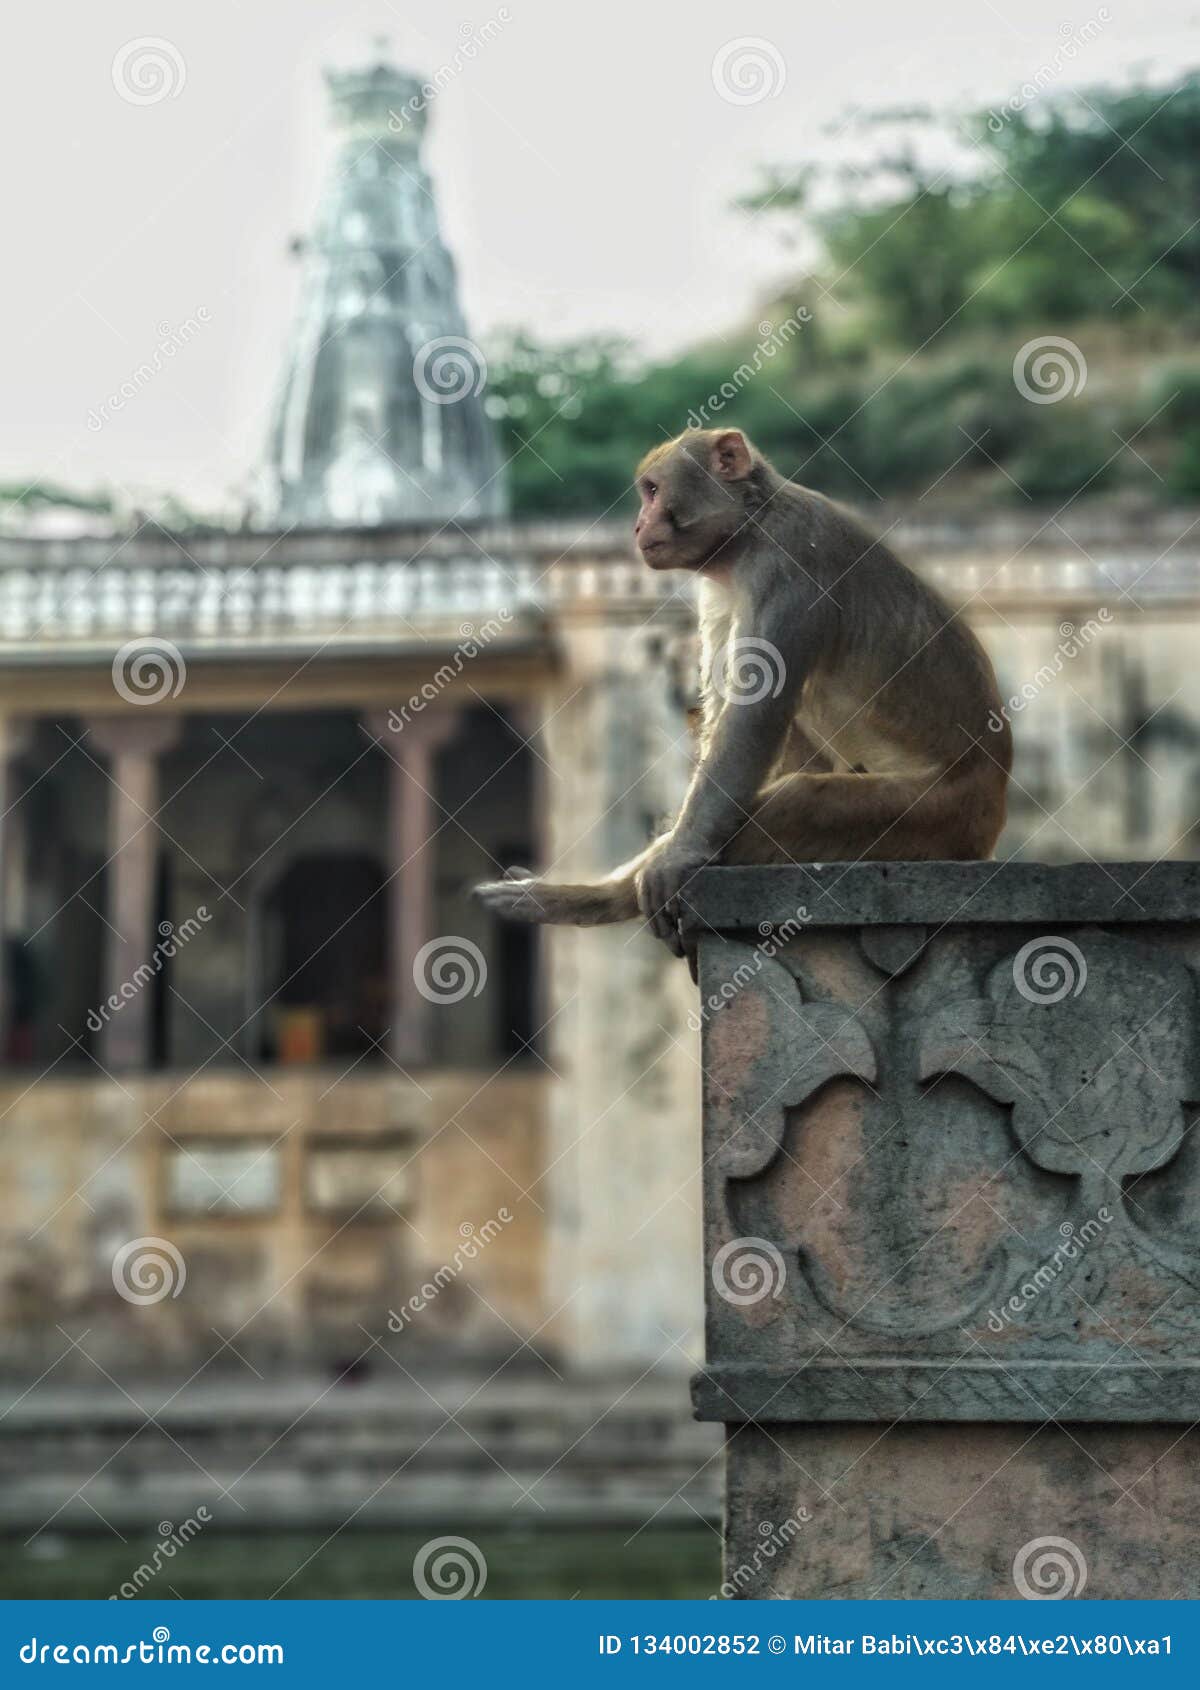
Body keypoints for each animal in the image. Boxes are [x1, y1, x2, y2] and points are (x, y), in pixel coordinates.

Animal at [475, 428, 1011, 958]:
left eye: (653, 490)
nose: (636, 525)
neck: (751, 528)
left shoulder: (786, 566)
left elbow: (754, 720)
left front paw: (676, 859)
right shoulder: (719, 588)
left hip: (936, 814)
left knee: (802, 799)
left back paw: (603, 899)